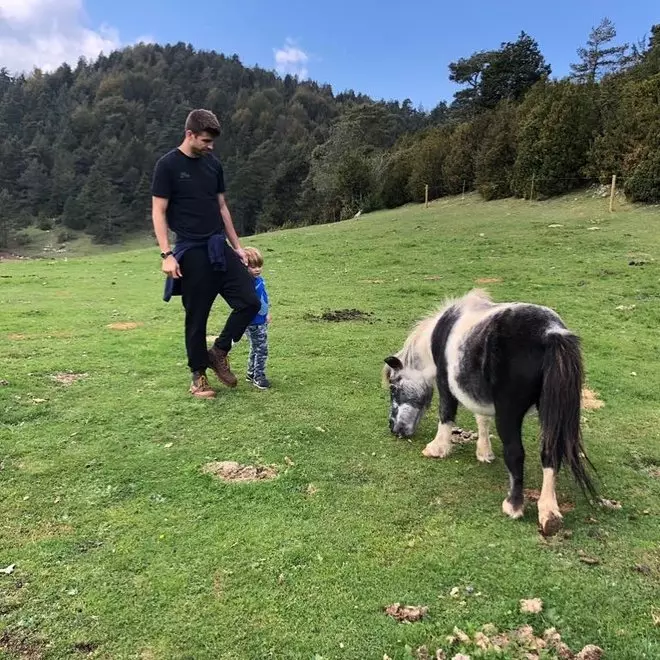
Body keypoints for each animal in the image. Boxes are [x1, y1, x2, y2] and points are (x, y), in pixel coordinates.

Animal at [384, 288, 596, 536]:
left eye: (393, 386)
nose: (393, 428)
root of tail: (550, 332)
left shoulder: (445, 382)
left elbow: (446, 414)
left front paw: (437, 448)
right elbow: (482, 418)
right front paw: (484, 452)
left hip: (509, 413)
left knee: (515, 453)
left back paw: (513, 506)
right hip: (548, 411)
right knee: (550, 453)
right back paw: (549, 513)